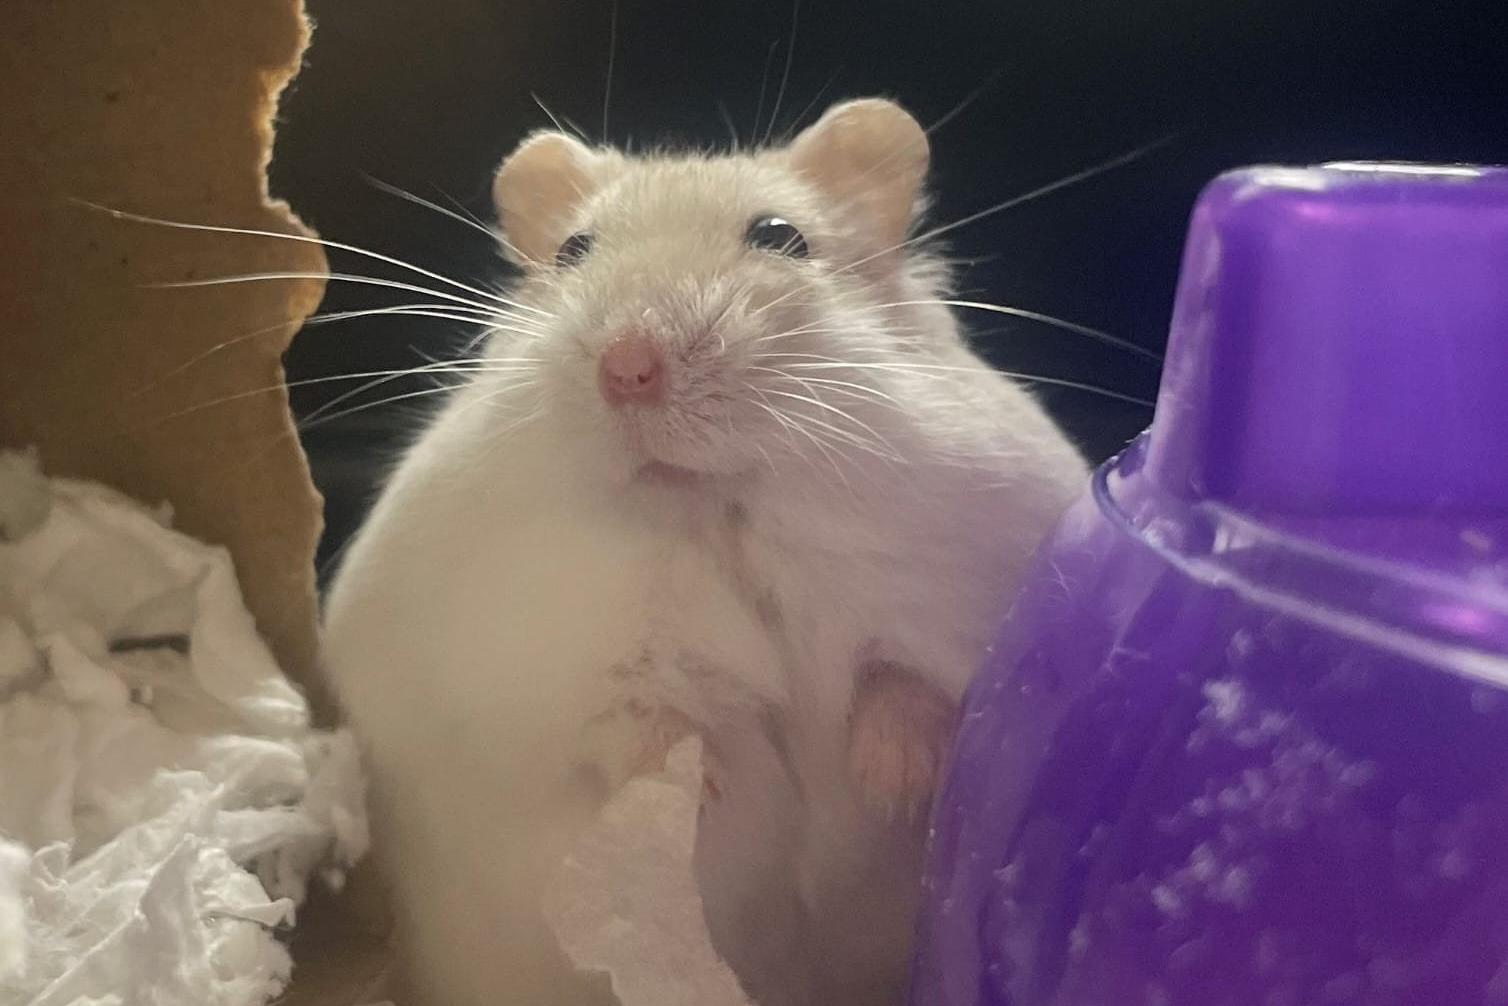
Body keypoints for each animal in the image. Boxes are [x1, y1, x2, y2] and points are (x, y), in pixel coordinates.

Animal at [321, 97, 1087, 1006]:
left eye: (780, 236)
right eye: (574, 250)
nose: (628, 368)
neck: (715, 509)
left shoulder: (947, 606)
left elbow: (905, 683)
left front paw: (889, 785)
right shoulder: (550, 686)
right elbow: (647, 726)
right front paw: (700, 783)